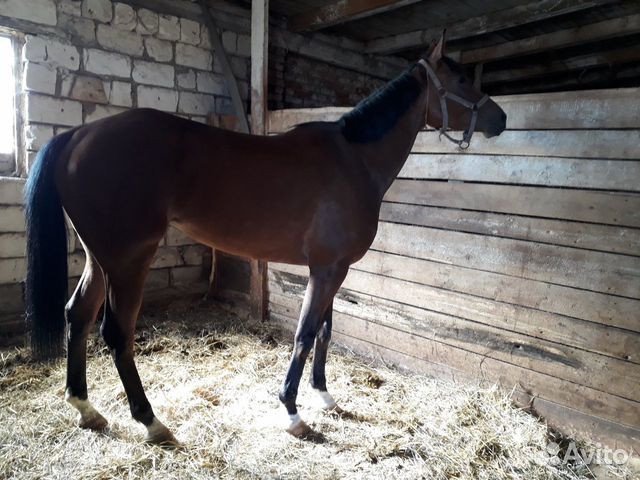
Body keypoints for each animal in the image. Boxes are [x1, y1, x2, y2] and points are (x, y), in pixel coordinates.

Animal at [24, 32, 506, 443]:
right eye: (462, 79)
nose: (501, 118)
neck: (354, 158)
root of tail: (77, 135)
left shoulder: (331, 268)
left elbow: (325, 329)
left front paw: (324, 395)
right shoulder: (328, 269)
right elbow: (306, 333)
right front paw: (292, 412)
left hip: (99, 258)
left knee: (77, 315)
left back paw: (85, 408)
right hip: (129, 262)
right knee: (116, 333)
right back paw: (151, 421)